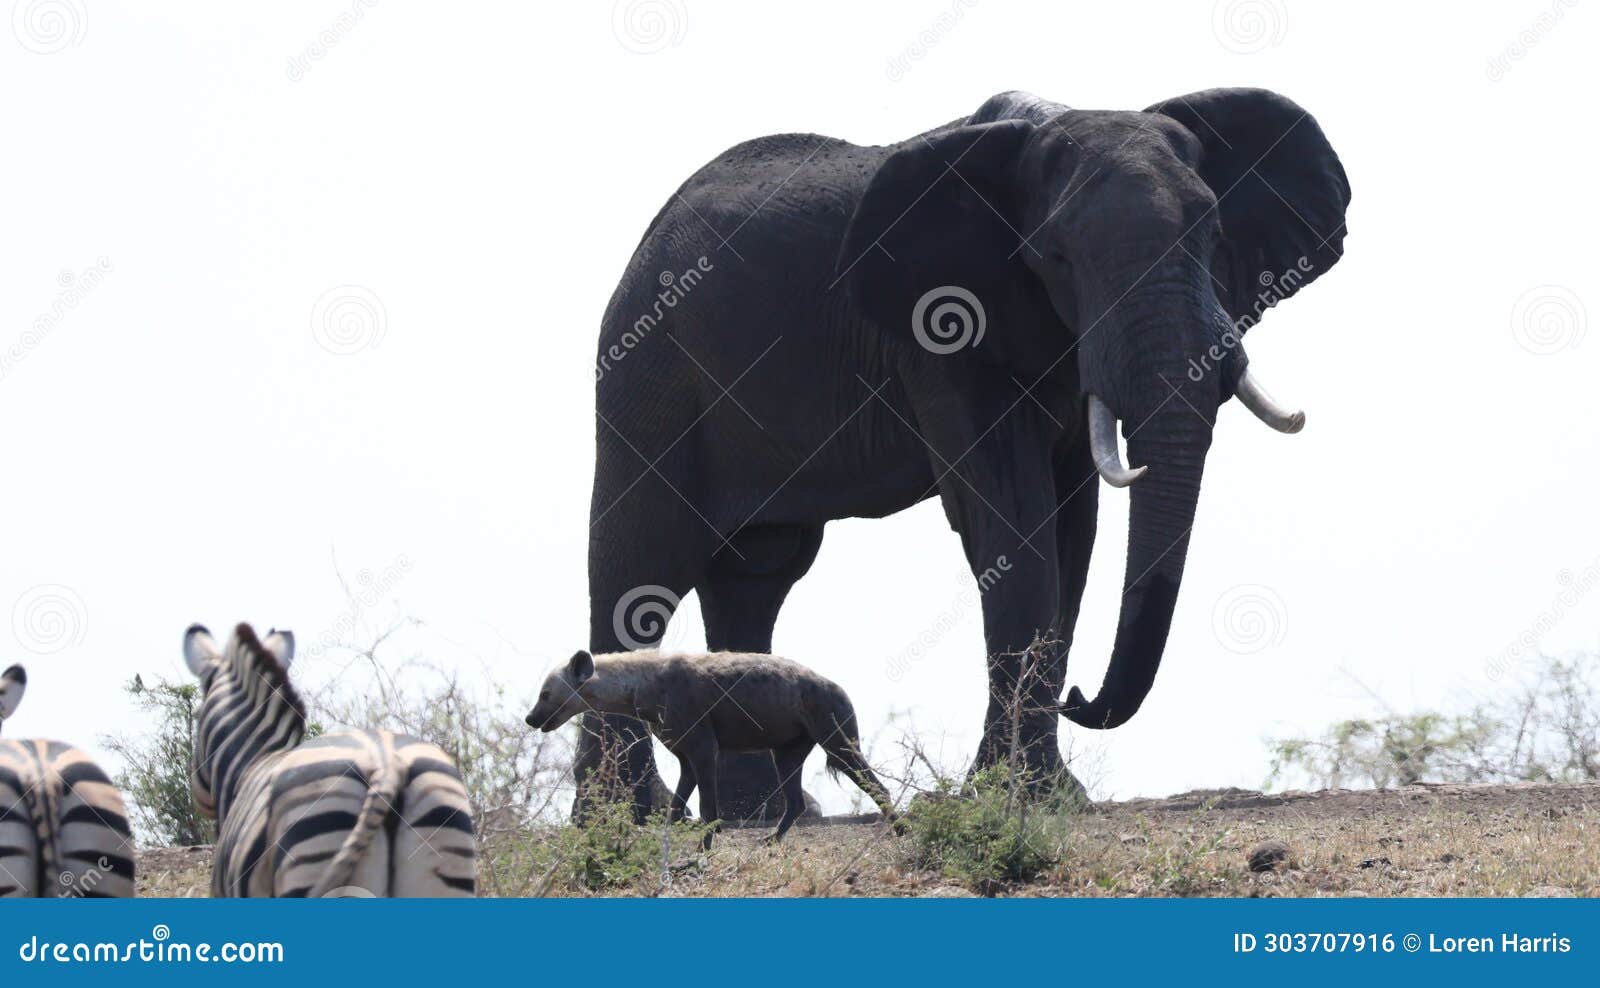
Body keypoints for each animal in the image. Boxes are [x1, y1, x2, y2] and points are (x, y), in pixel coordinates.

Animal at [576, 88, 1349, 818]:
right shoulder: (941, 330)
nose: (1081, 698)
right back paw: (626, 815)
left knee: (757, 574)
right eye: (1057, 257)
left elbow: (1072, 537)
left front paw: (1036, 792)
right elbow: (1013, 521)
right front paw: (1023, 795)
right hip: (647, 371)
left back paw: (750, 813)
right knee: (642, 567)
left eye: (1213, 235)